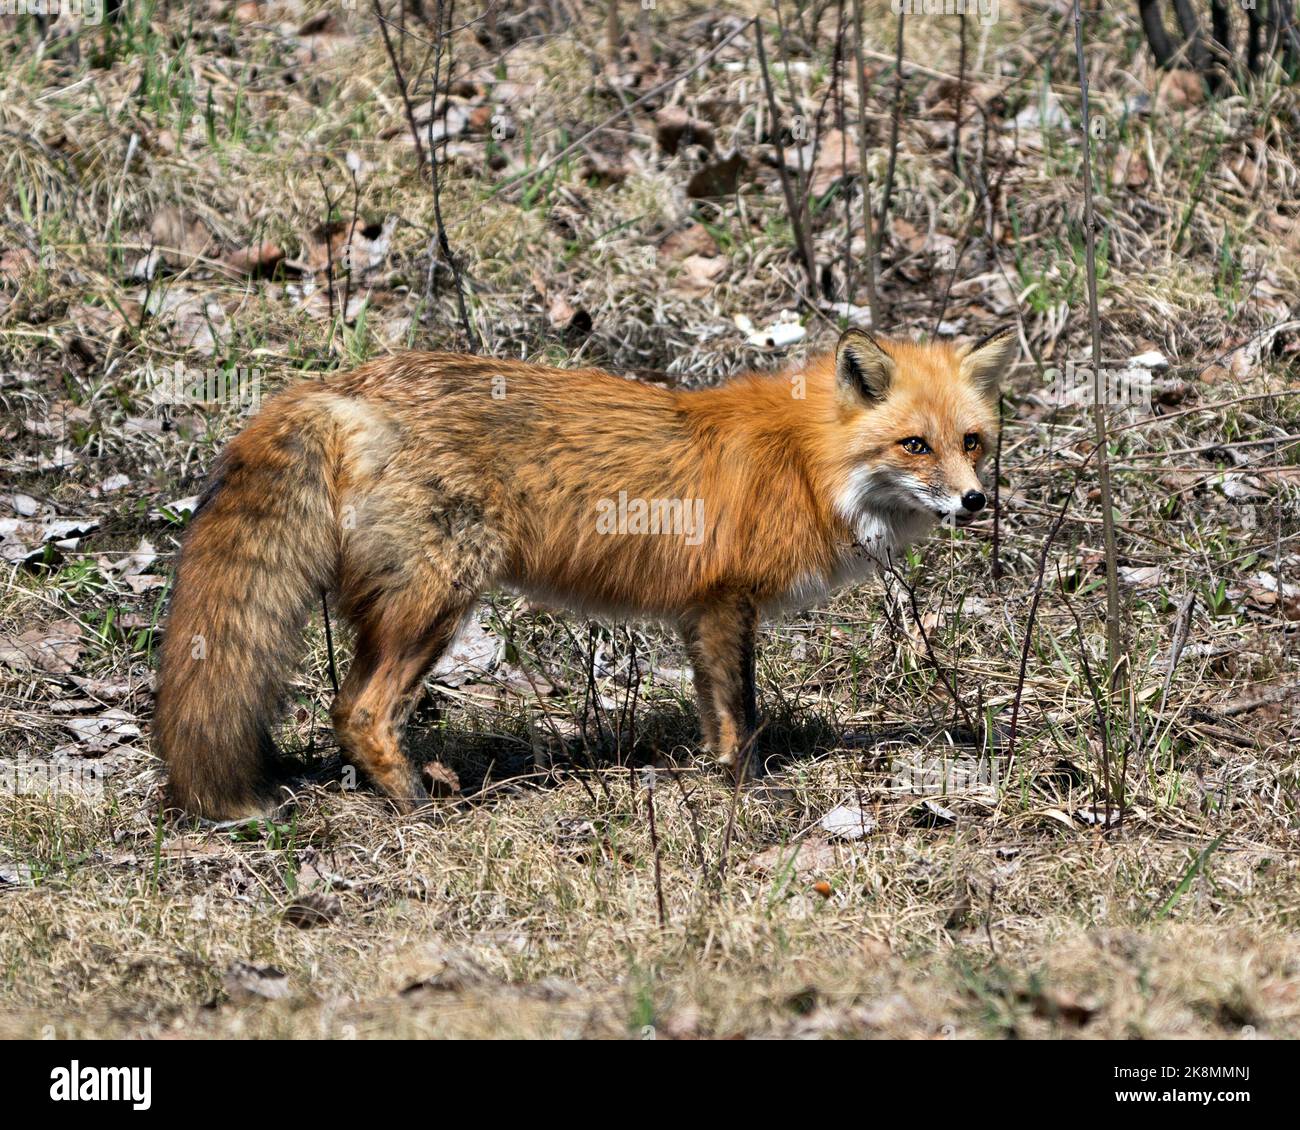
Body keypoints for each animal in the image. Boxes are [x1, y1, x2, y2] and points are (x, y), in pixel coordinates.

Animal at [154, 326, 1015, 820]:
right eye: (914, 445)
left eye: (972, 441)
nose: (976, 501)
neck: (808, 462)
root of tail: (339, 387)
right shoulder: (726, 603)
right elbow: (742, 718)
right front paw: (749, 792)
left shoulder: (700, 615)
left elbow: (715, 716)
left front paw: (715, 777)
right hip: (439, 601)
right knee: (358, 711)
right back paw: (418, 809)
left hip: (397, 608)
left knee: (350, 706)